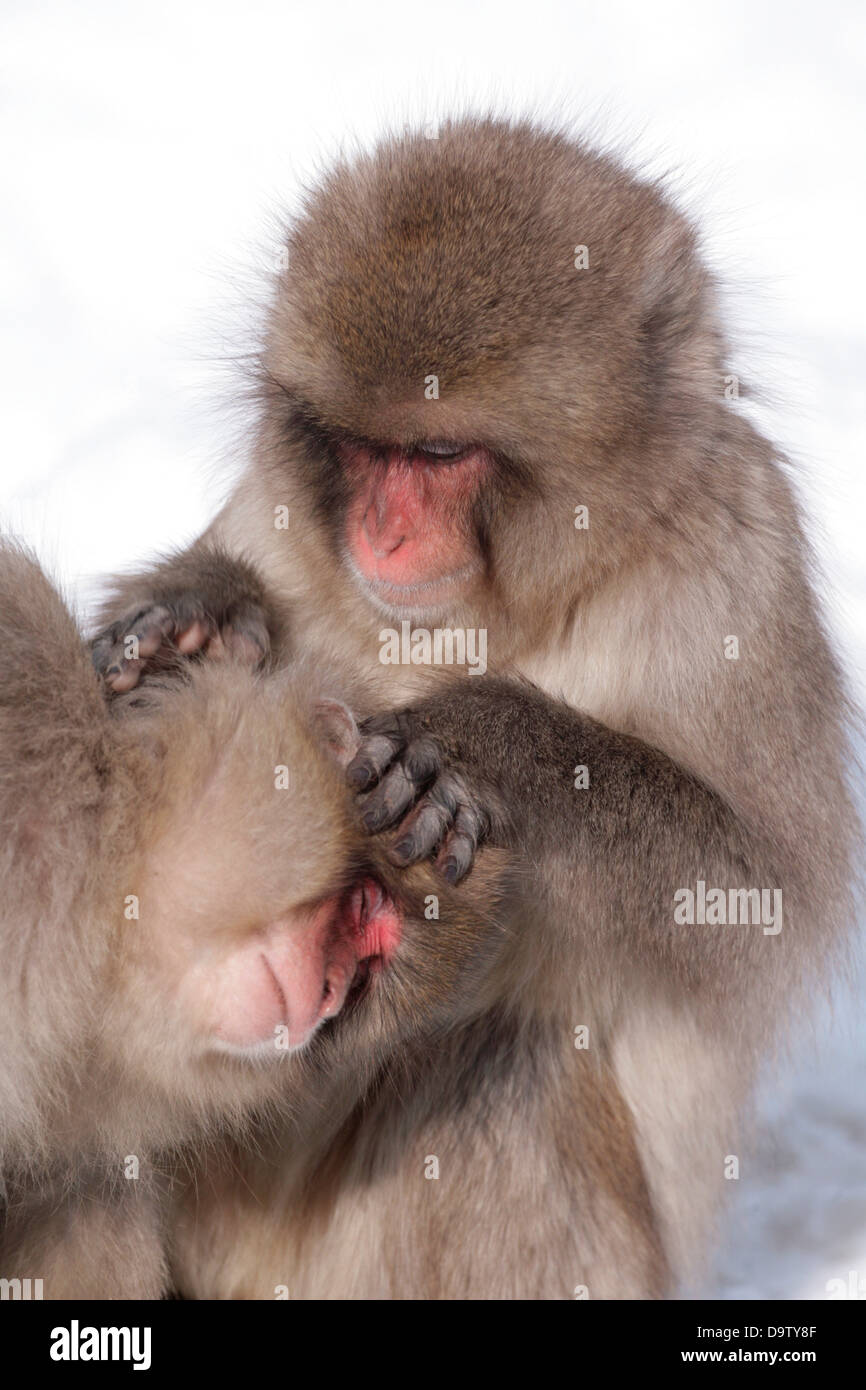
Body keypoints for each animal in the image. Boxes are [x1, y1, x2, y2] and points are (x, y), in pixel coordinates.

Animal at [85, 117, 856, 1297]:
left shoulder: (733, 563)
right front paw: (197, 614)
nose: (381, 534)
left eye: (439, 454)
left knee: (507, 1065)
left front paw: (482, 744)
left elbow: (761, 903)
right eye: (362, 448)